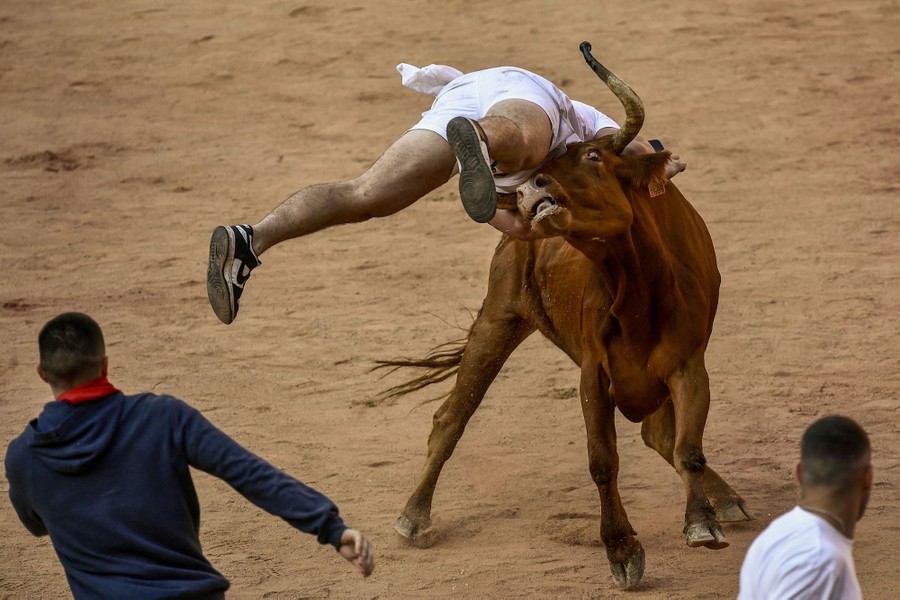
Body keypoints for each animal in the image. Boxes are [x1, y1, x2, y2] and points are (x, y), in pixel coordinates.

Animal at [377, 42, 750, 588]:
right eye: (553, 160)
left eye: (594, 155)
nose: (528, 190)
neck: (640, 288)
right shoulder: (594, 373)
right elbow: (603, 461)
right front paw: (621, 548)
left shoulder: (688, 366)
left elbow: (687, 447)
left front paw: (701, 521)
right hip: (500, 318)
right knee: (451, 417)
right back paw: (413, 515)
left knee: (661, 436)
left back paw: (727, 500)